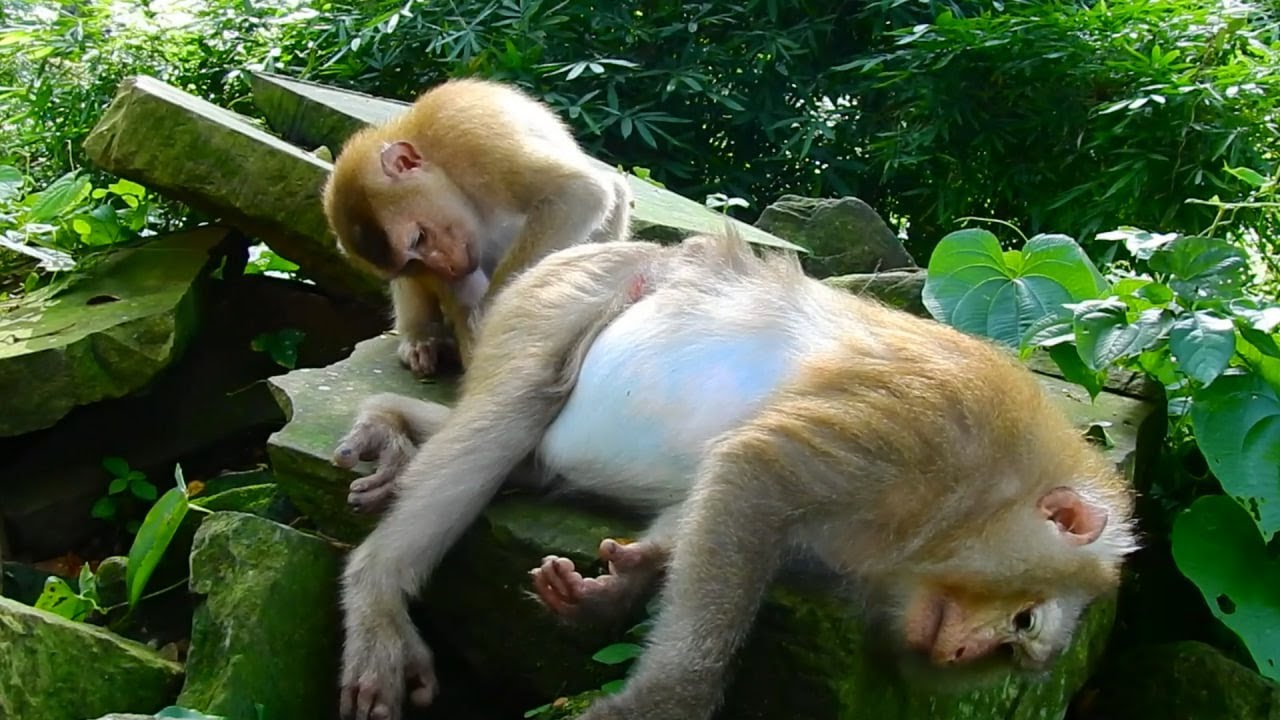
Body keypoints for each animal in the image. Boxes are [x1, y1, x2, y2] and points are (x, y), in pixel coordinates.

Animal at [322, 77, 633, 377]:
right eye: (412, 264)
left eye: (418, 238)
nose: (446, 267)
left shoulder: (473, 139)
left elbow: (578, 192)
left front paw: (490, 313)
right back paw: (420, 335)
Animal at [331, 231, 1138, 720]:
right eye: (1025, 621)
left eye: (1014, 648)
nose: (969, 650)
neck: (981, 496)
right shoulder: (934, 420)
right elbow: (755, 473)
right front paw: (657, 701)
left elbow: (716, 495)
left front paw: (617, 587)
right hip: (560, 296)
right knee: (511, 409)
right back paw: (379, 586)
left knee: (528, 452)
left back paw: (390, 425)